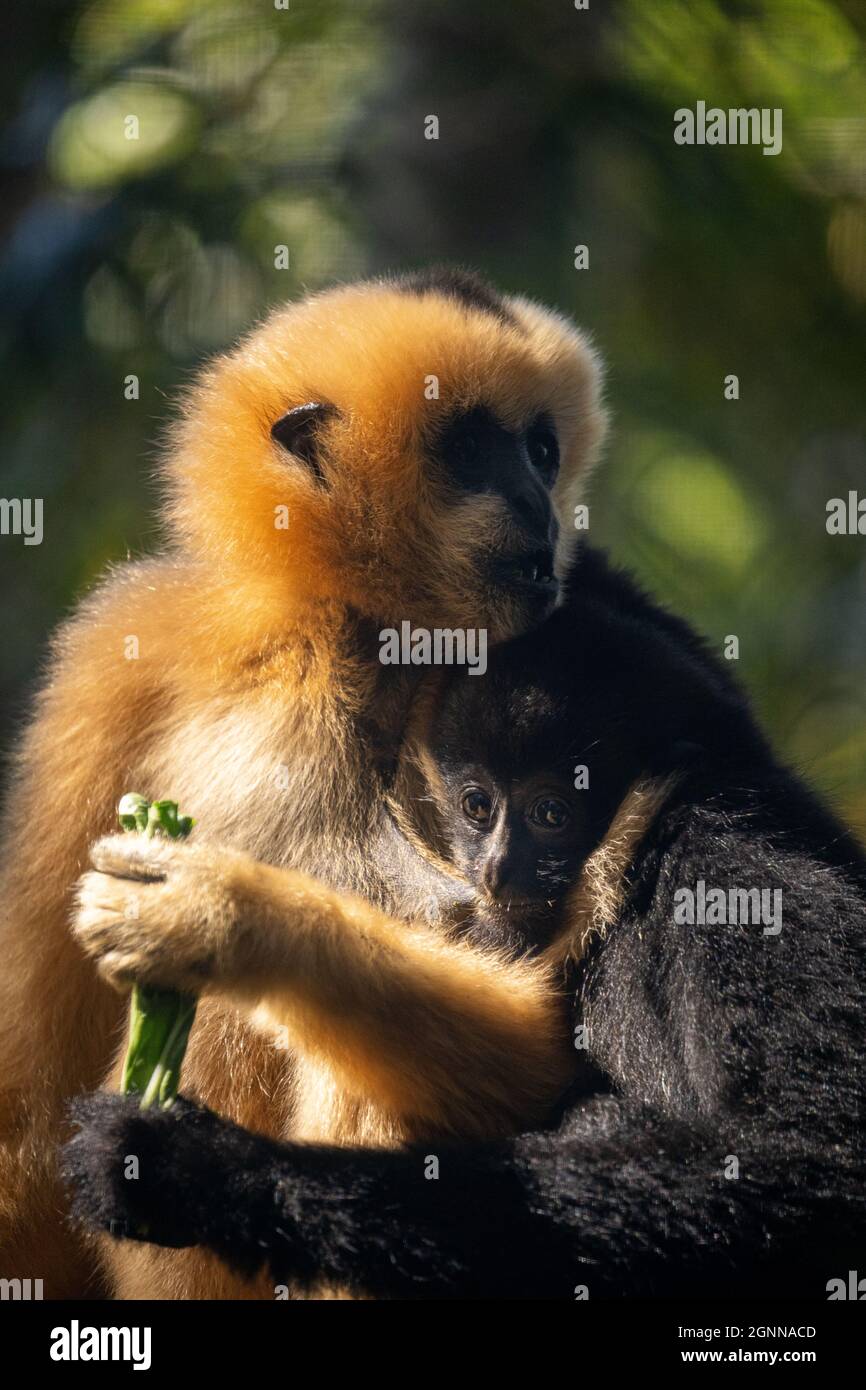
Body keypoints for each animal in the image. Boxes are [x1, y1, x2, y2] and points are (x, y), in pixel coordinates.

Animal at [0, 268, 607, 1299]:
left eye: (539, 447)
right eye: (472, 449)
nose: (541, 503)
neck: (336, 630)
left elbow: (539, 1041)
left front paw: (219, 915)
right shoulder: (114, 648)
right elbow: (29, 1093)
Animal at [63, 545, 866, 1298]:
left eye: (551, 813)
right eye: (478, 806)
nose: (498, 870)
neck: (646, 849)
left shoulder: (731, 876)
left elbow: (803, 1172)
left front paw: (188, 1164)